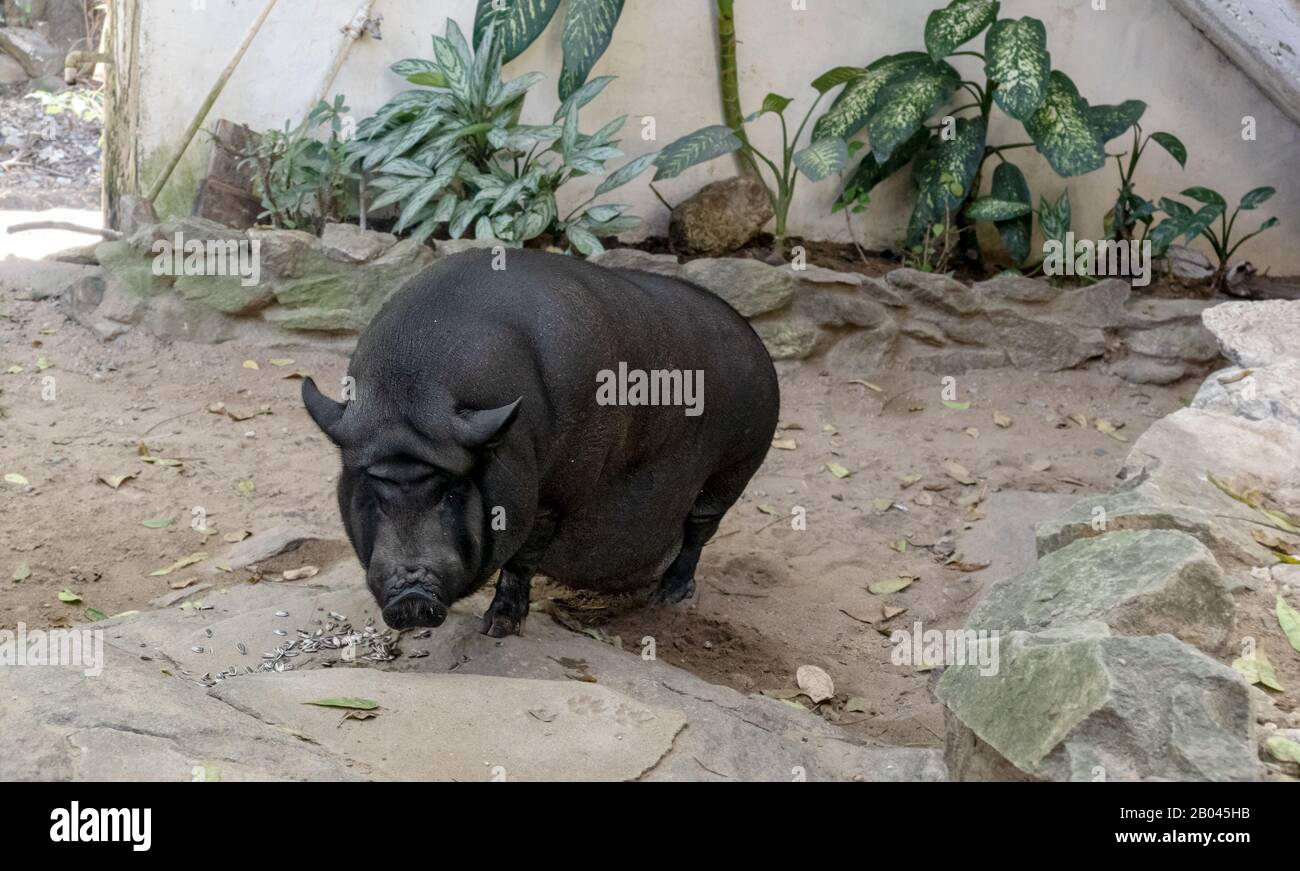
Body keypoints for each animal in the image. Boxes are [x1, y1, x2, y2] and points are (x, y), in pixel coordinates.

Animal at [302, 248, 779, 636]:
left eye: (454, 491)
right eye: (371, 492)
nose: (411, 595)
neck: (410, 398)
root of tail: (754, 340)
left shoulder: (555, 493)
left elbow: (521, 559)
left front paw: (498, 629)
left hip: (737, 464)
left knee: (700, 528)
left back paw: (669, 598)